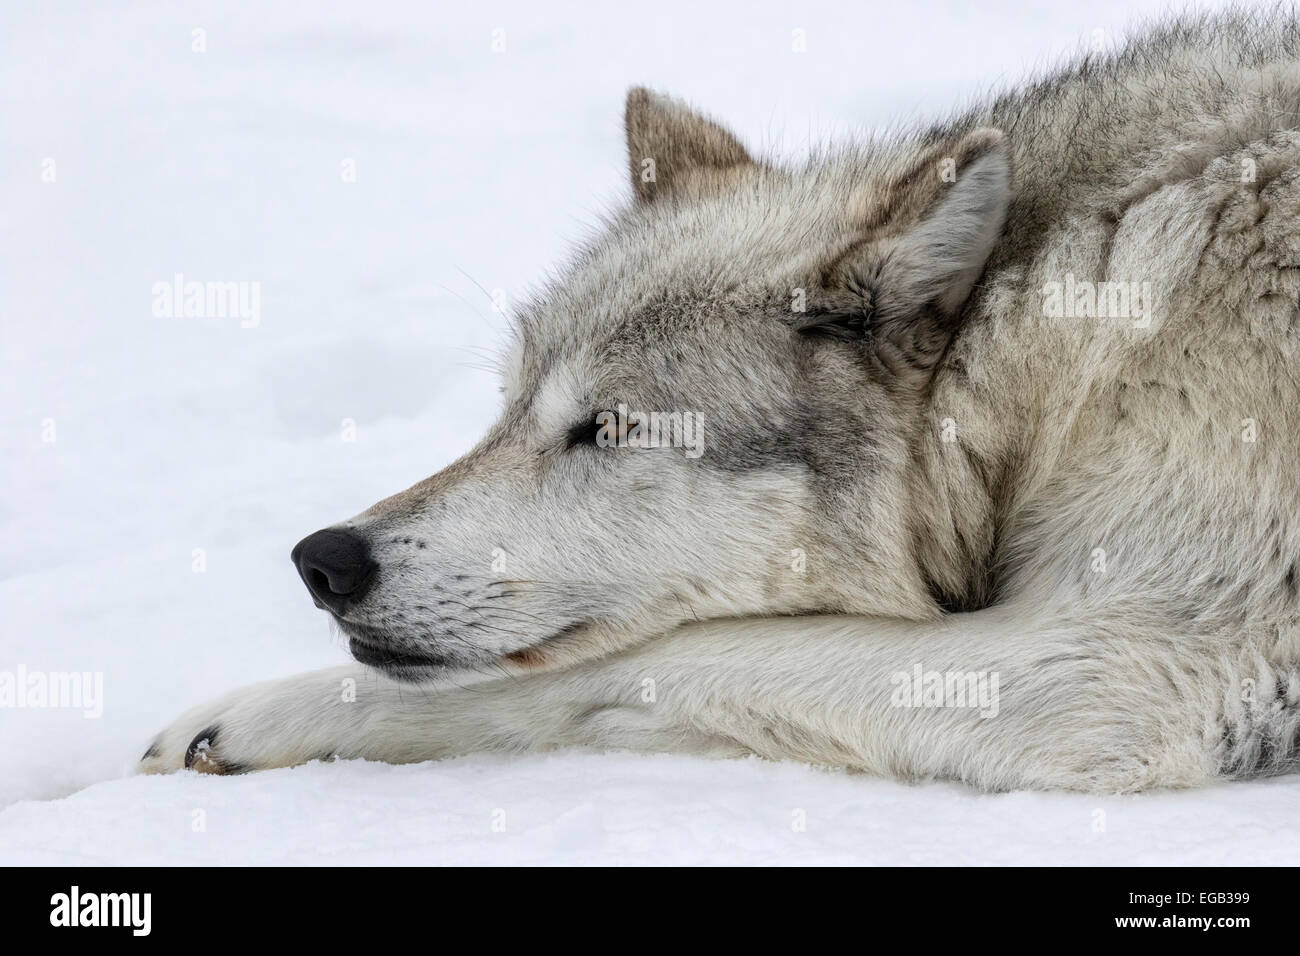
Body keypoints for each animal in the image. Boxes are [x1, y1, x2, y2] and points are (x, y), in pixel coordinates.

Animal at [142, 10, 1300, 791]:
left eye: (606, 428)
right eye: (508, 408)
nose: (324, 560)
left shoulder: (1127, 663)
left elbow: (628, 662)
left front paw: (258, 715)